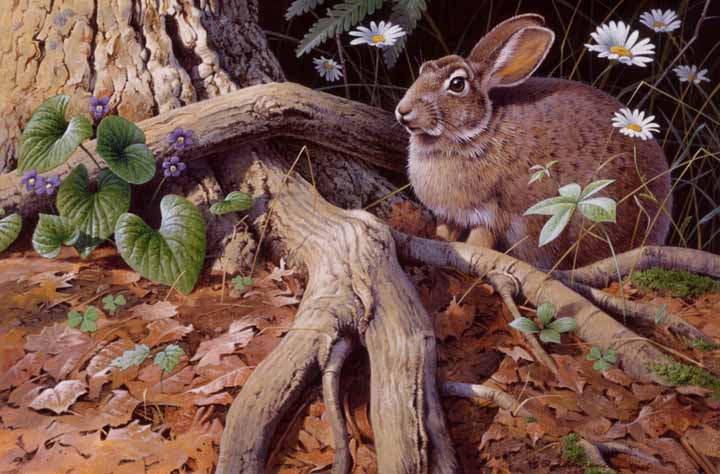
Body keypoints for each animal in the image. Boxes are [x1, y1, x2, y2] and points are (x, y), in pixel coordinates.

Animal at [395, 13, 672, 269]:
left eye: (457, 84)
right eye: (422, 70)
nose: (403, 111)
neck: (473, 133)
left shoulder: (493, 217)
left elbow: (478, 244)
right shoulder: (450, 216)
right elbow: (444, 234)